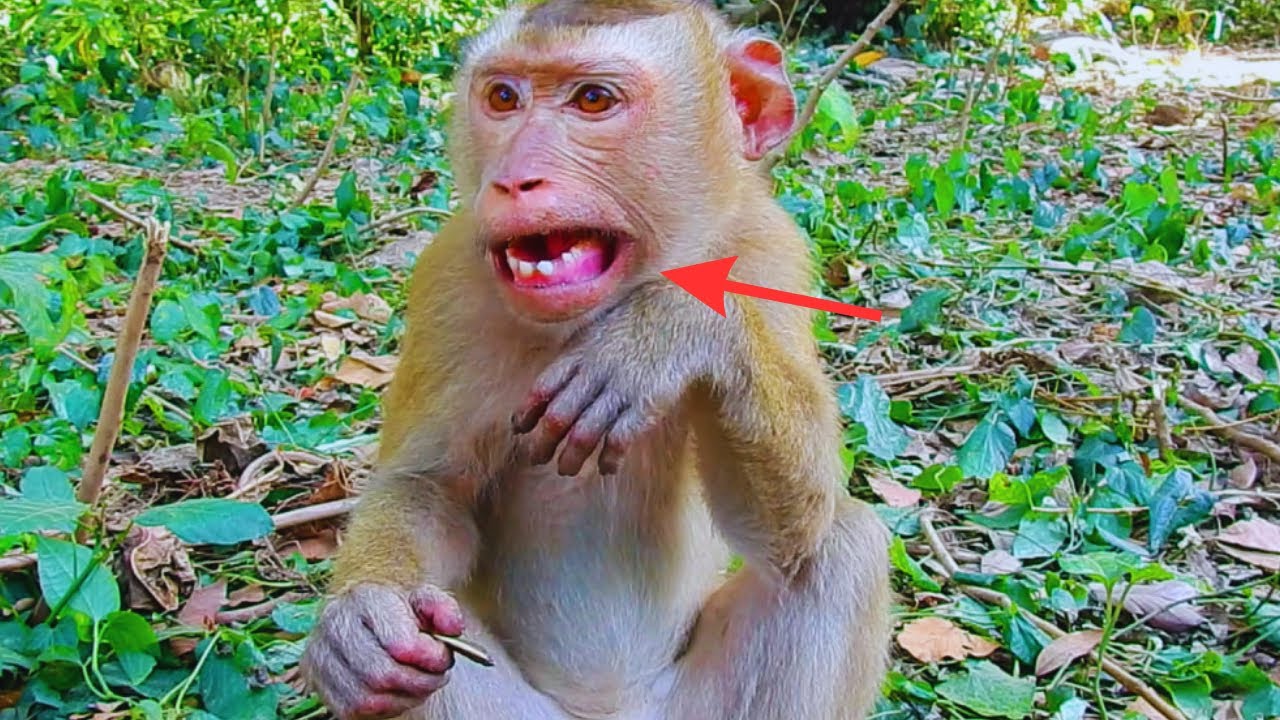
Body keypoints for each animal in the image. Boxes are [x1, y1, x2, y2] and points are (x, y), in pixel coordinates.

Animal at [299, 1, 892, 719]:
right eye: (503, 98)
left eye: (592, 100)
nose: (513, 179)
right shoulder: (451, 282)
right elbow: (427, 488)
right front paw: (362, 623)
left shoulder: (767, 250)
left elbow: (791, 537)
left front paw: (667, 329)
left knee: (840, 553)